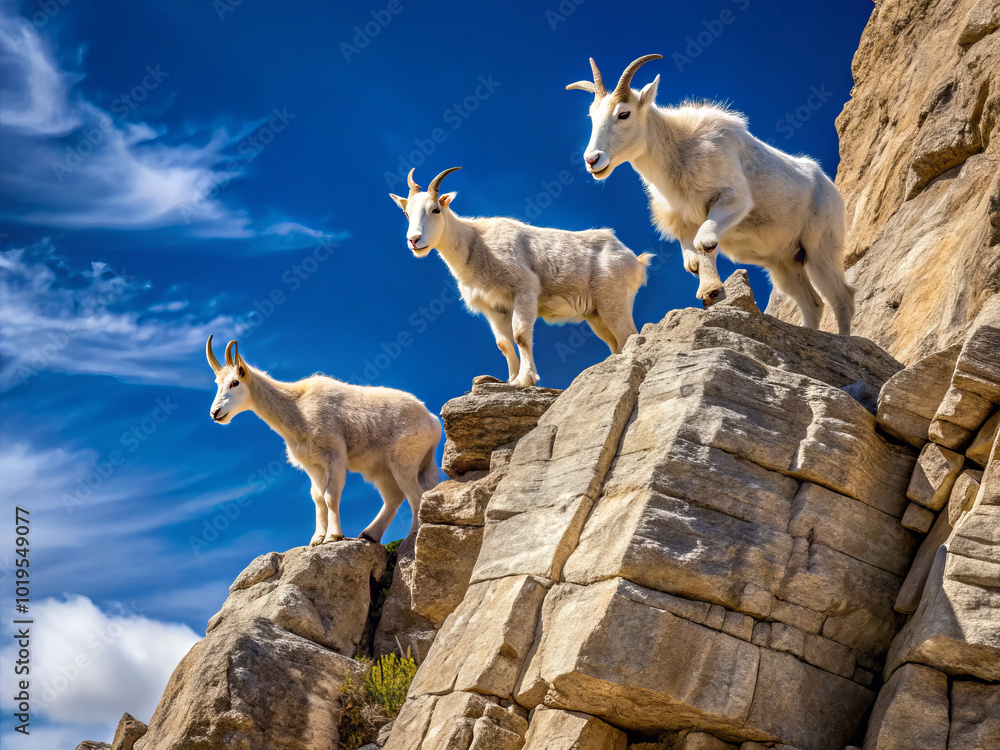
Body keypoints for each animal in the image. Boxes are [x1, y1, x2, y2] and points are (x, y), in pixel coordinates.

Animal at [205, 336, 441, 545]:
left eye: (235, 382)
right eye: (217, 383)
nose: (215, 413)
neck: (297, 409)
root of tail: (432, 421)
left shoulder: (334, 455)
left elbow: (330, 495)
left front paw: (333, 536)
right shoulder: (313, 465)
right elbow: (317, 498)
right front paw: (317, 539)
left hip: (404, 462)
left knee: (416, 495)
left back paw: (412, 536)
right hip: (381, 469)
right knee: (394, 497)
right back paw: (368, 535)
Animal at [388, 167, 653, 386]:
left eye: (435, 209)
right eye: (406, 212)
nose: (414, 241)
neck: (476, 244)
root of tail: (636, 261)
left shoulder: (524, 291)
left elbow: (520, 336)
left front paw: (525, 380)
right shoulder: (494, 307)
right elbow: (504, 344)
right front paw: (511, 379)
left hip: (613, 302)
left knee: (629, 335)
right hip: (596, 315)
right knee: (615, 342)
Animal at [567, 55, 855, 335]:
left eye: (624, 113)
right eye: (592, 116)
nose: (592, 160)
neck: (680, 151)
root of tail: (828, 185)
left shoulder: (732, 201)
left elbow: (704, 243)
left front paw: (712, 291)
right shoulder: (684, 221)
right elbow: (693, 260)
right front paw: (709, 291)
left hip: (820, 249)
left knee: (842, 297)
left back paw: (843, 340)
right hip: (785, 263)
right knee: (812, 303)